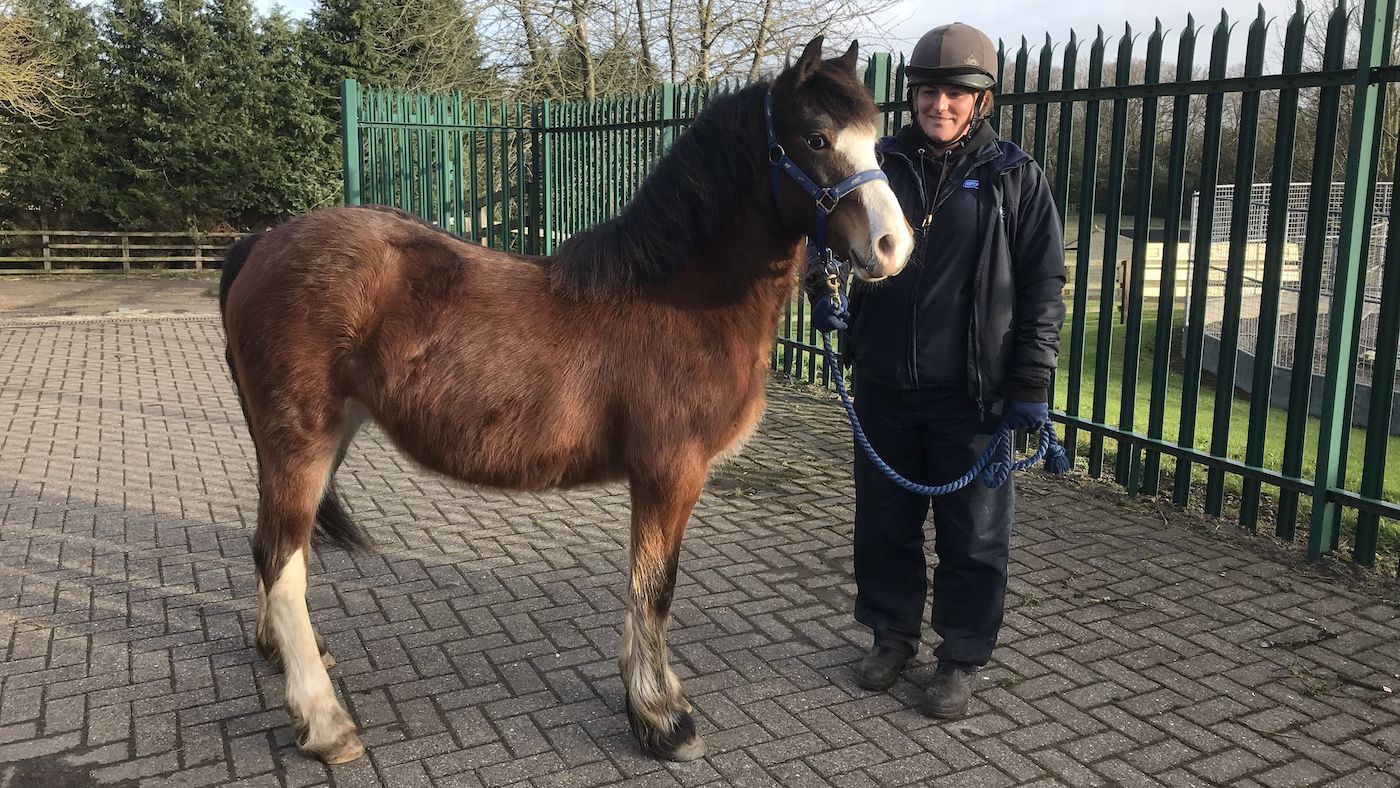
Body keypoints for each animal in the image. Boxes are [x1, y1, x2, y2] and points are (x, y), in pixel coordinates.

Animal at [218, 36, 913, 764]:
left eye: (875, 141)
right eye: (817, 138)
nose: (893, 246)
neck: (679, 296)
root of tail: (261, 244)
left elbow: (643, 586)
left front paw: (648, 700)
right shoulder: (670, 473)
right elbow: (655, 590)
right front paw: (663, 719)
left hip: (320, 437)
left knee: (276, 547)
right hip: (301, 439)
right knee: (281, 558)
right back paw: (325, 722)